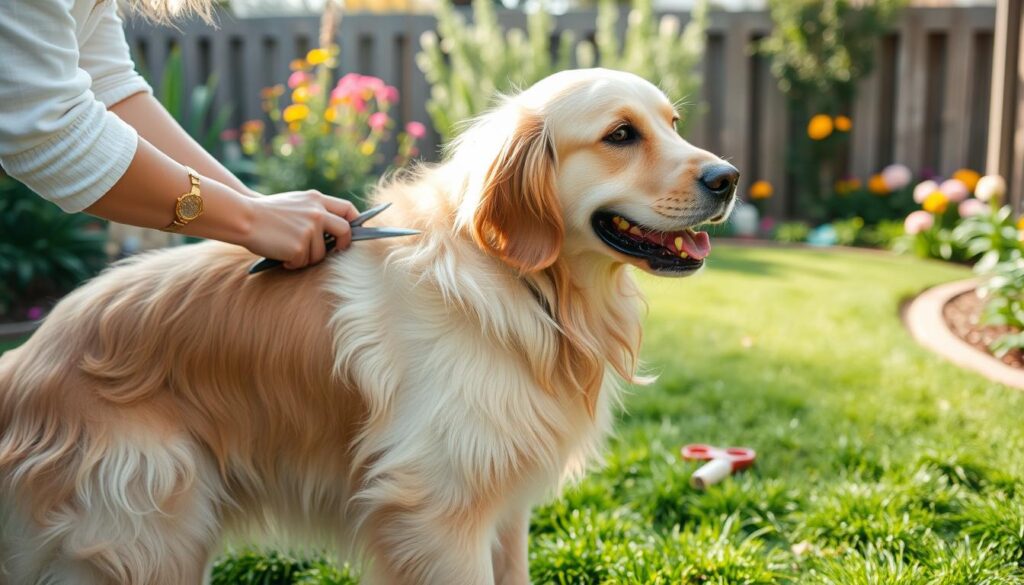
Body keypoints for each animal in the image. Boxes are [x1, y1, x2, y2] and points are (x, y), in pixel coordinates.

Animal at [0, 69, 737, 585]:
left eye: (673, 123)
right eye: (621, 135)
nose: (728, 176)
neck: (518, 286)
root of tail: (30, 355)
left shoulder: (504, 508)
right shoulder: (436, 515)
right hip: (150, 538)